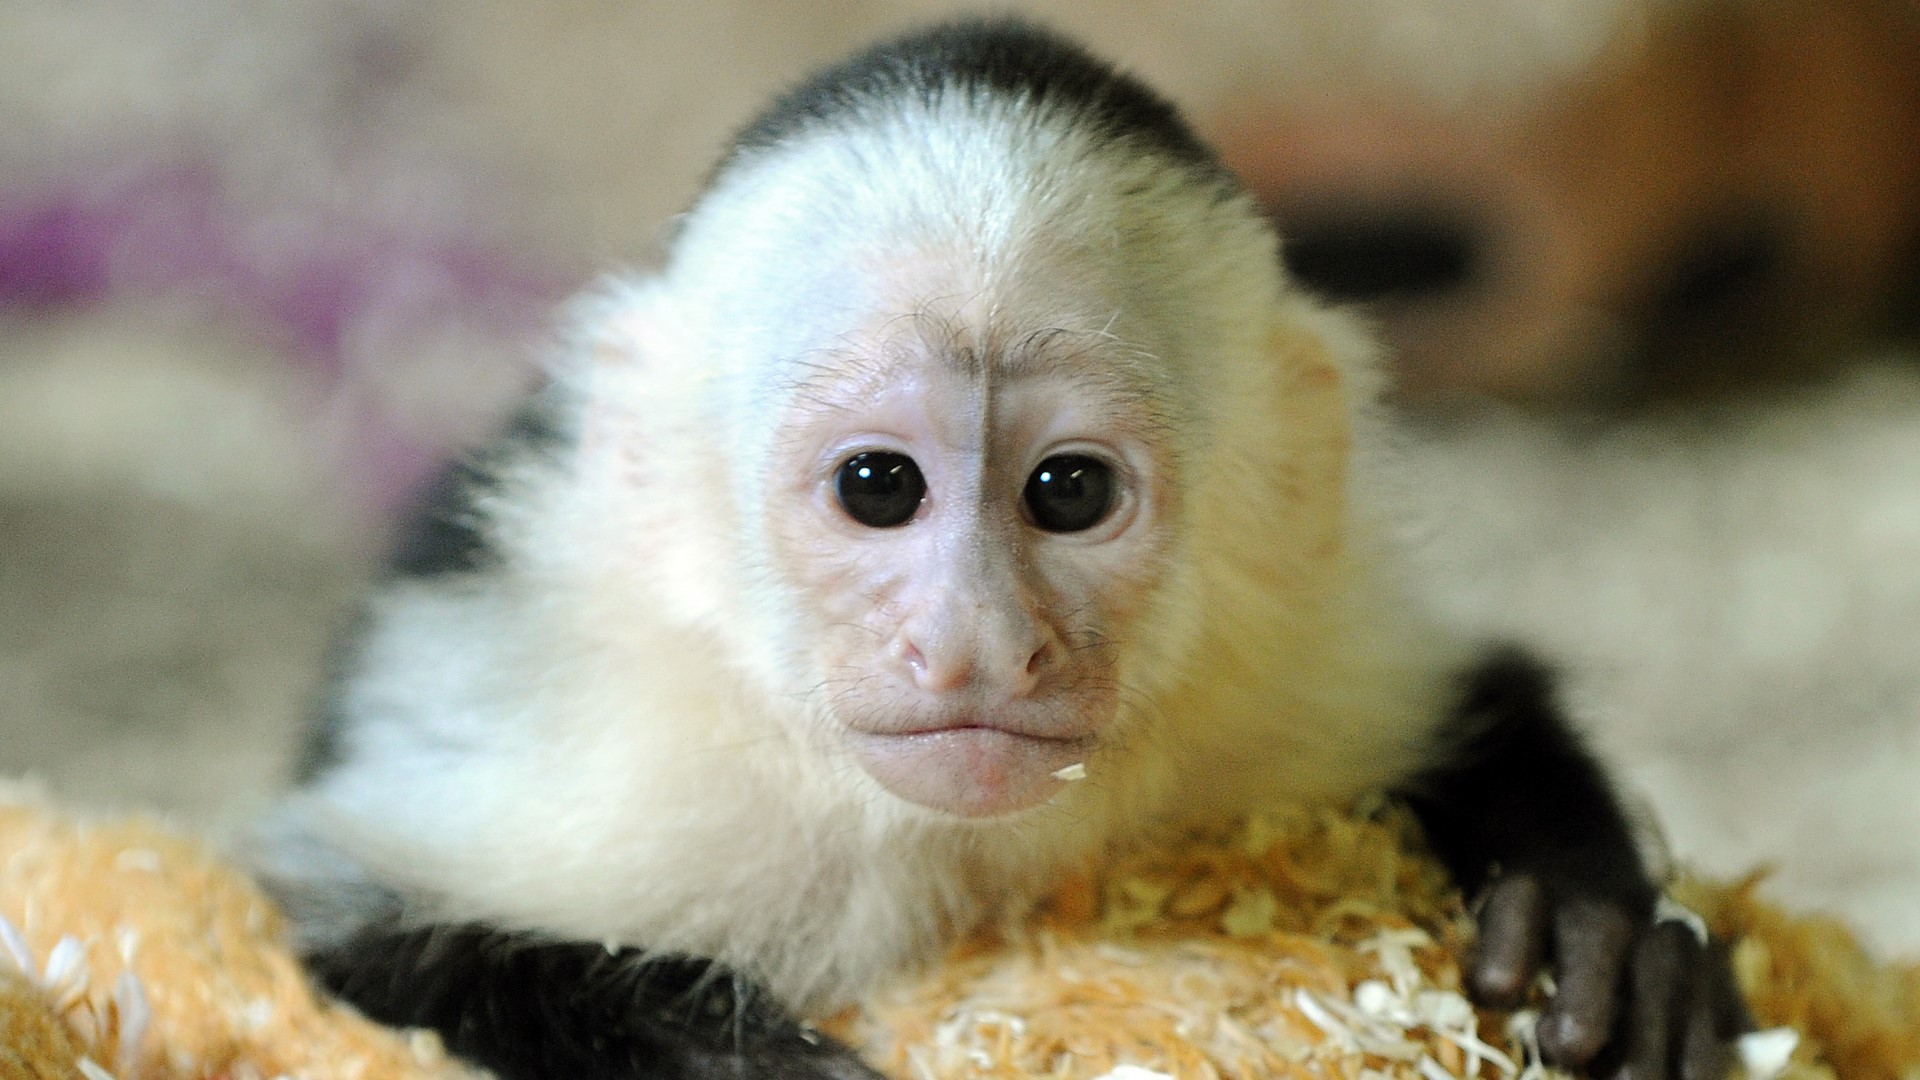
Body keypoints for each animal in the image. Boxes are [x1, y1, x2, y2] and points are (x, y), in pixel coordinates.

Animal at [252, 19, 1752, 1080]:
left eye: (1068, 492)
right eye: (879, 487)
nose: (977, 640)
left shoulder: (1279, 676)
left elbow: (1473, 694)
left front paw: (1590, 919)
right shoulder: (593, 749)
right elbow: (350, 926)